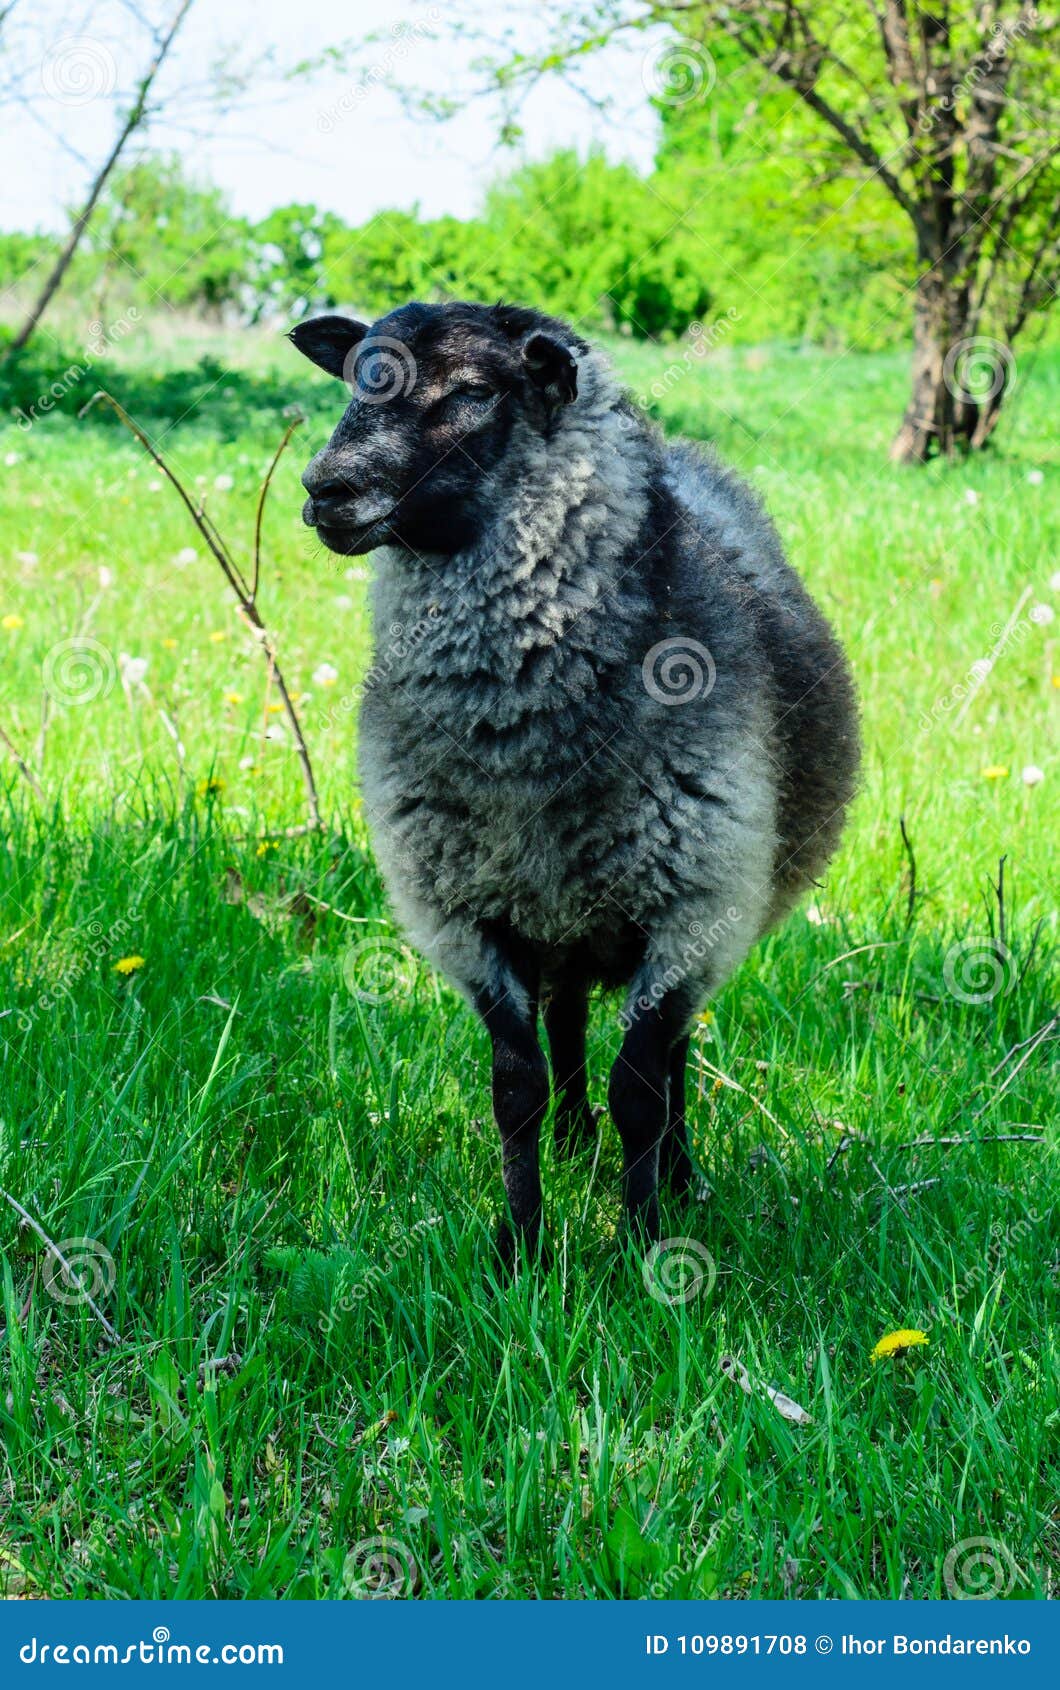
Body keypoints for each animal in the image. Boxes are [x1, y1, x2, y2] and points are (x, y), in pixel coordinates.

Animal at [289, 300, 860, 1259]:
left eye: (473, 392)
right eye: (354, 377)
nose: (326, 490)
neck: (525, 756)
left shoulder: (693, 906)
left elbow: (642, 1089)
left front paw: (644, 1244)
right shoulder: (466, 918)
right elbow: (513, 1091)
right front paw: (519, 1247)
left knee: (672, 1056)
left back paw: (679, 1174)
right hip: (559, 918)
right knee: (568, 1020)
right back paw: (571, 1139)